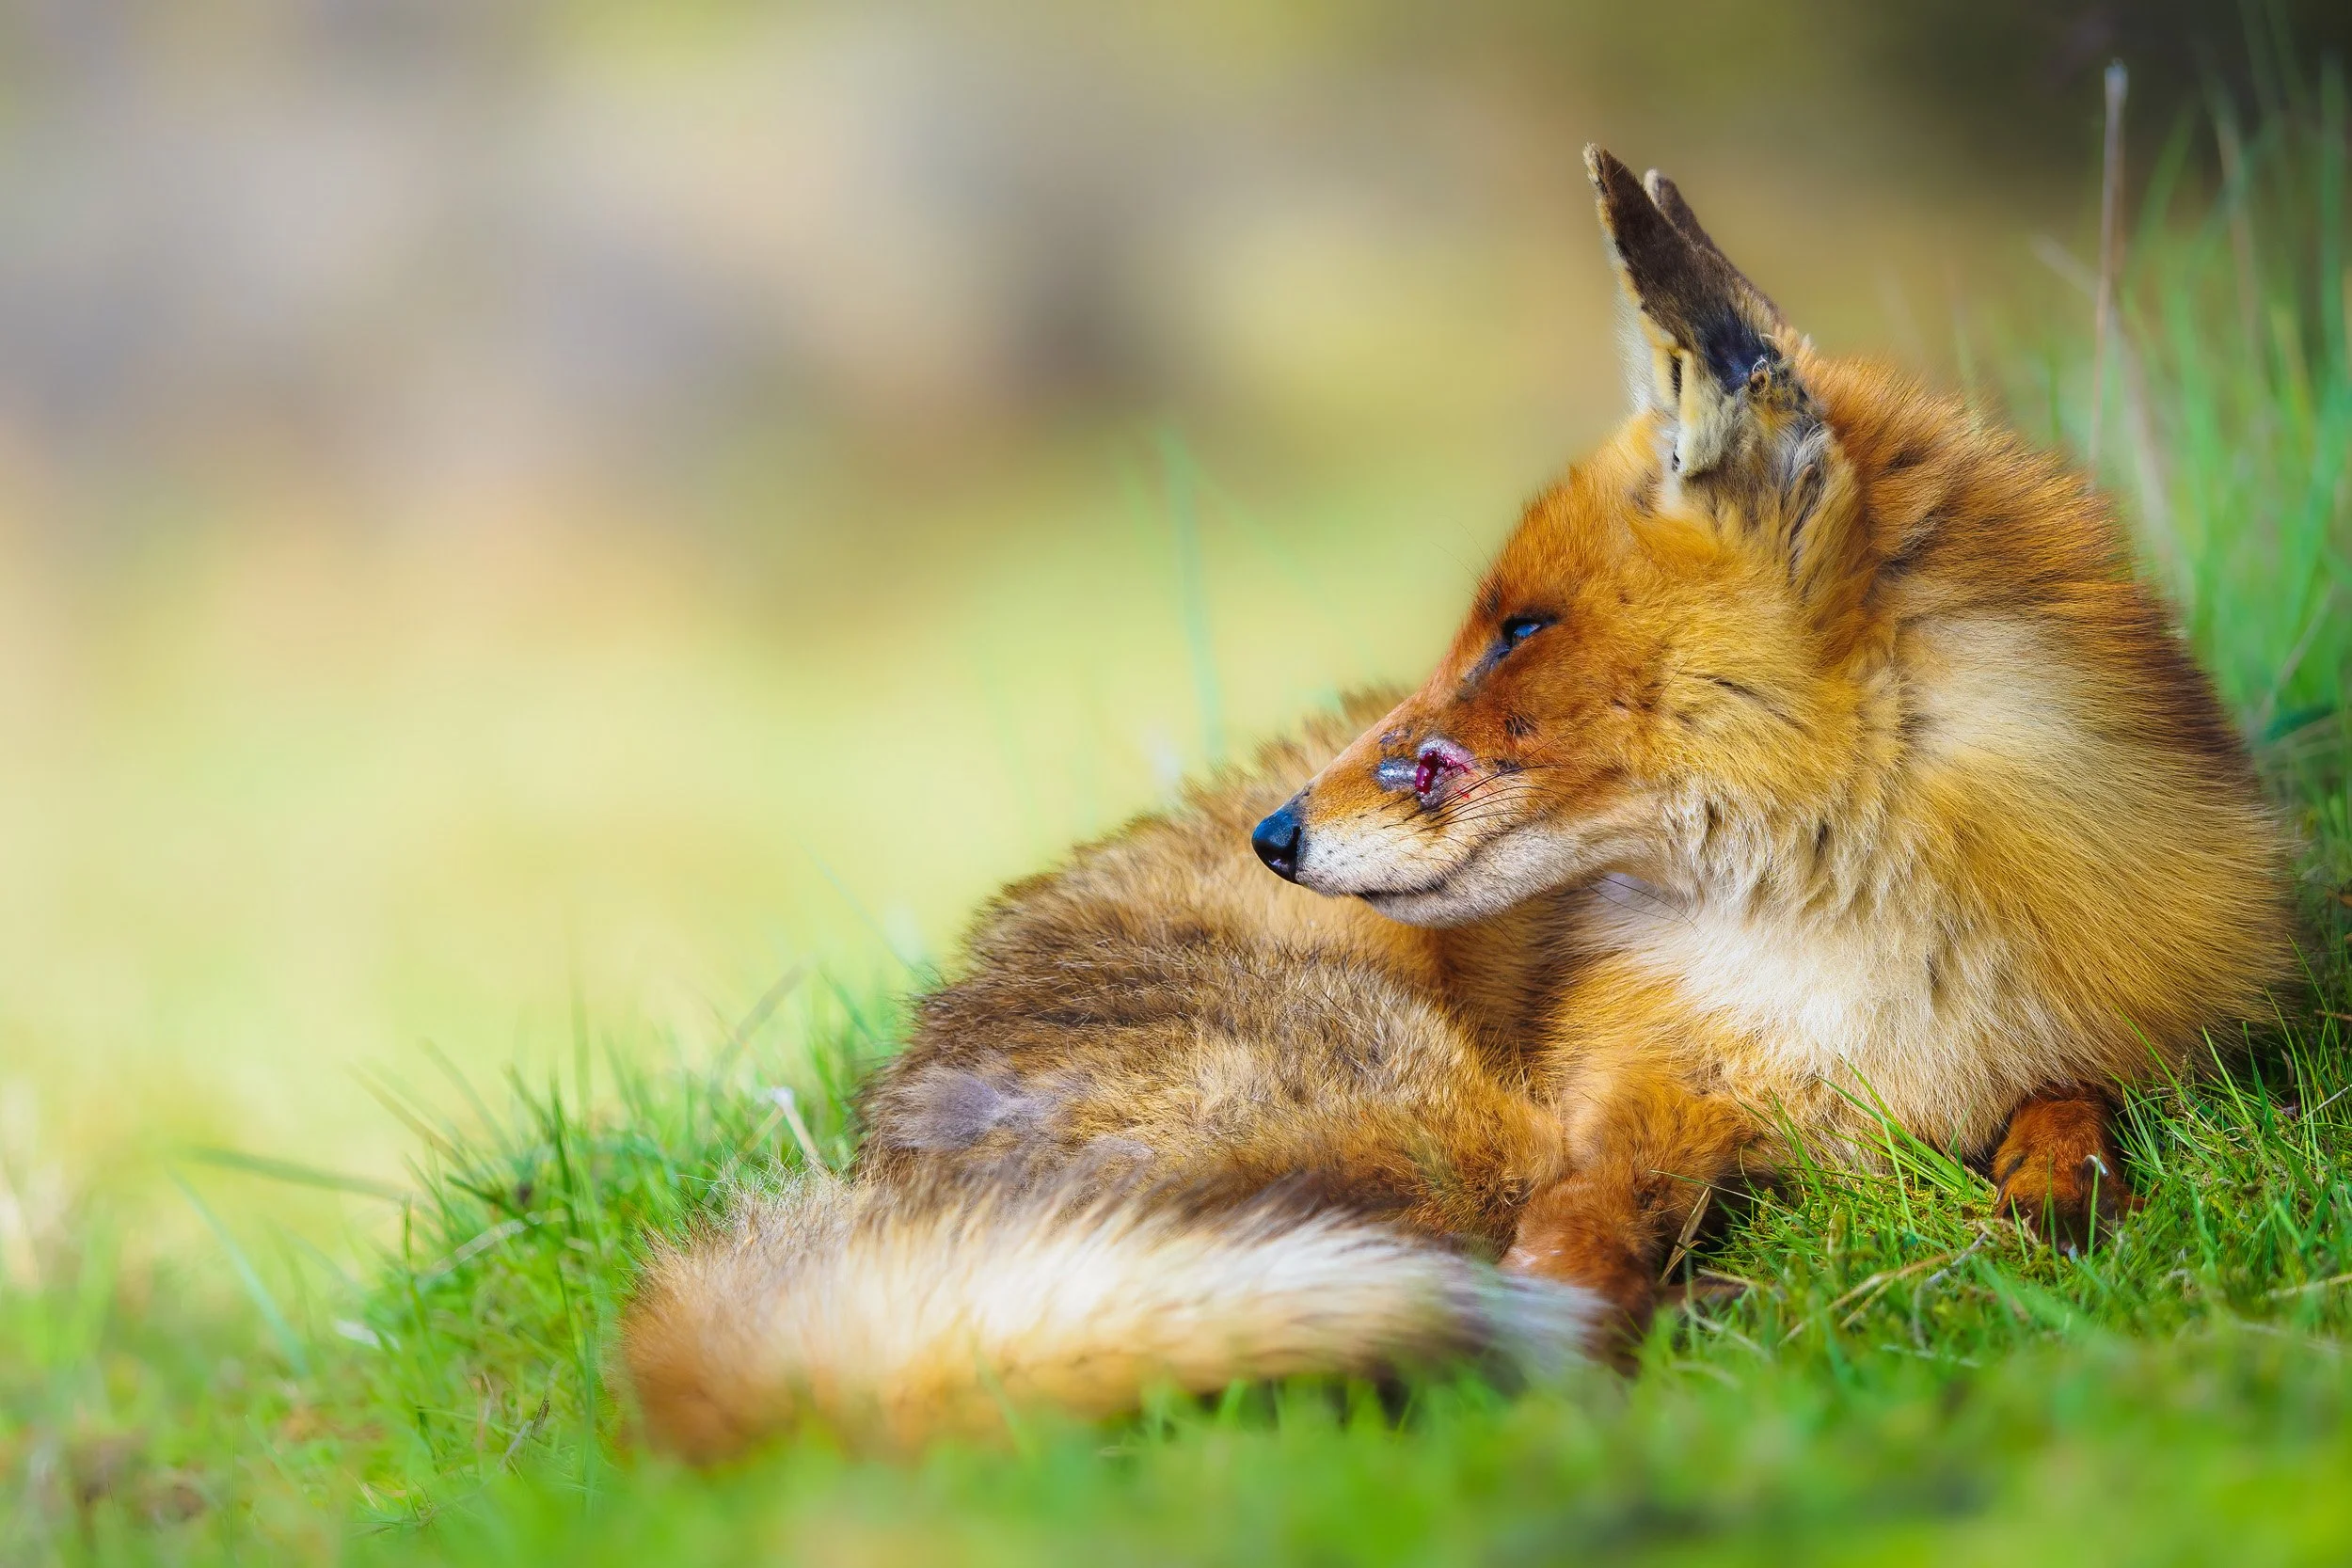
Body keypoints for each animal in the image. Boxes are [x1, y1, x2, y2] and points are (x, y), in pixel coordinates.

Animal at [625, 148, 2295, 1461]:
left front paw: (2034, 1209)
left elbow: (2076, 1120)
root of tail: (878, 1152)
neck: (1854, 966)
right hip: (1443, 1123)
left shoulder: (2117, 1029)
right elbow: (1576, 1262)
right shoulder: (1608, 1107)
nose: (1278, 838)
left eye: (1517, 631)